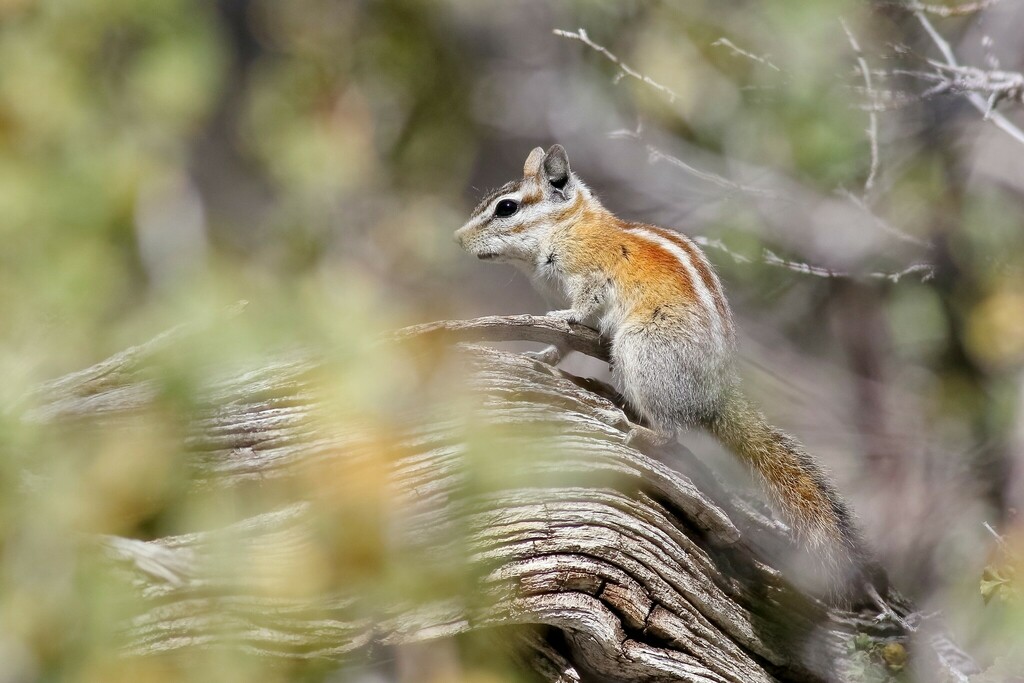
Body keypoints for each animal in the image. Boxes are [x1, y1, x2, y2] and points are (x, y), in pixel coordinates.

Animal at [454, 144, 884, 601]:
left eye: (506, 208)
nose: (457, 238)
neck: (568, 226)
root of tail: (714, 397)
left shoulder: (592, 277)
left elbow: (582, 309)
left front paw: (561, 319)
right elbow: (567, 342)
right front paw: (543, 356)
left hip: (642, 349)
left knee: (671, 433)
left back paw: (631, 425)